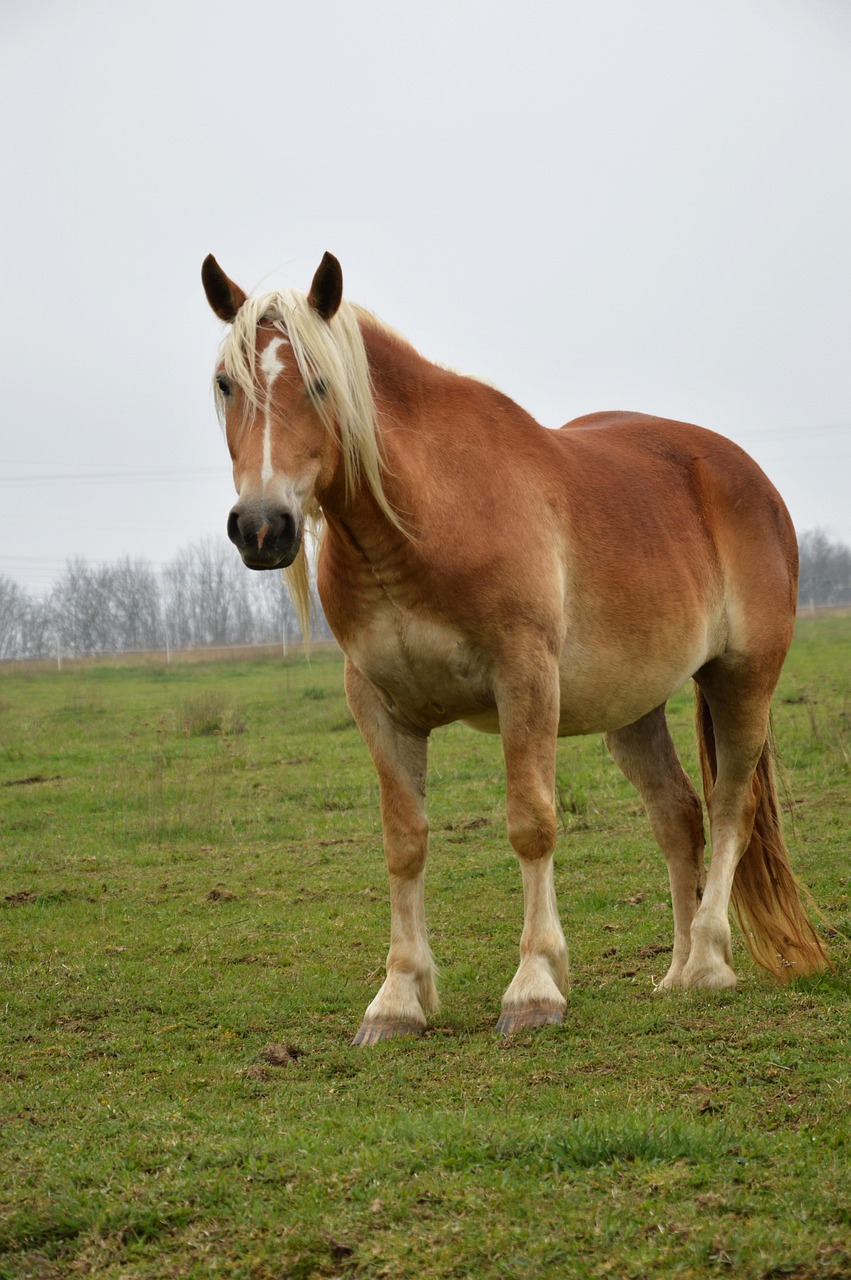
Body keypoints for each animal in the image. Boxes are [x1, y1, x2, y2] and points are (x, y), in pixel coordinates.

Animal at [202, 249, 830, 1044]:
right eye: (226, 382)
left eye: (319, 381)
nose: (262, 526)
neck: (424, 518)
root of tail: (747, 477)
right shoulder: (376, 701)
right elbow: (404, 841)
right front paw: (397, 999)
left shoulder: (524, 680)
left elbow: (531, 824)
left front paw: (534, 988)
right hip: (635, 707)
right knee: (677, 816)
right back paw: (678, 972)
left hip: (742, 680)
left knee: (728, 809)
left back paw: (713, 961)